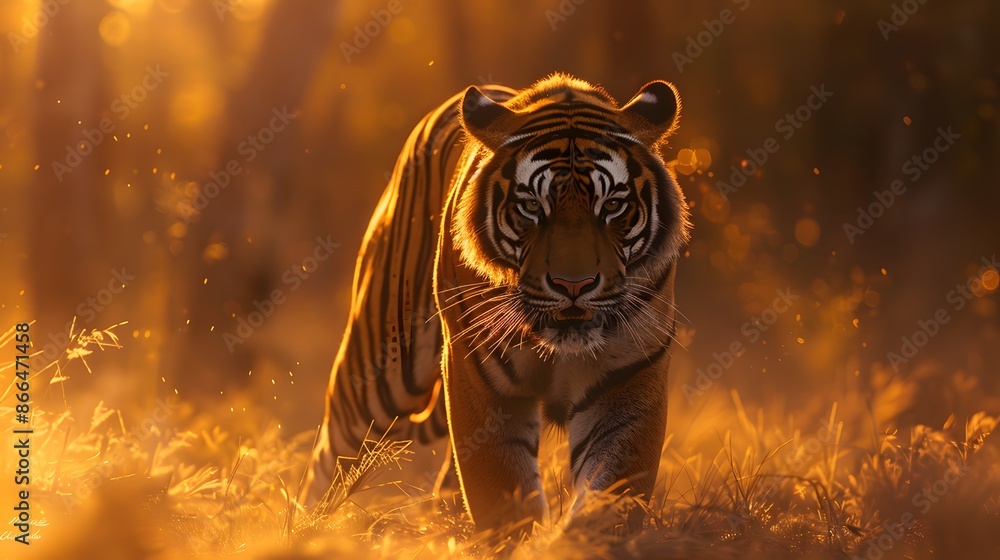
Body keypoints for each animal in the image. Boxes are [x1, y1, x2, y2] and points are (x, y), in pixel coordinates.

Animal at [304, 73, 690, 536]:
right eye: (531, 207)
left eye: (612, 205)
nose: (573, 284)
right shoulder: (481, 380)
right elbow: (502, 493)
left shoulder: (628, 379)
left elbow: (612, 495)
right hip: (382, 372)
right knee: (333, 454)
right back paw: (303, 529)